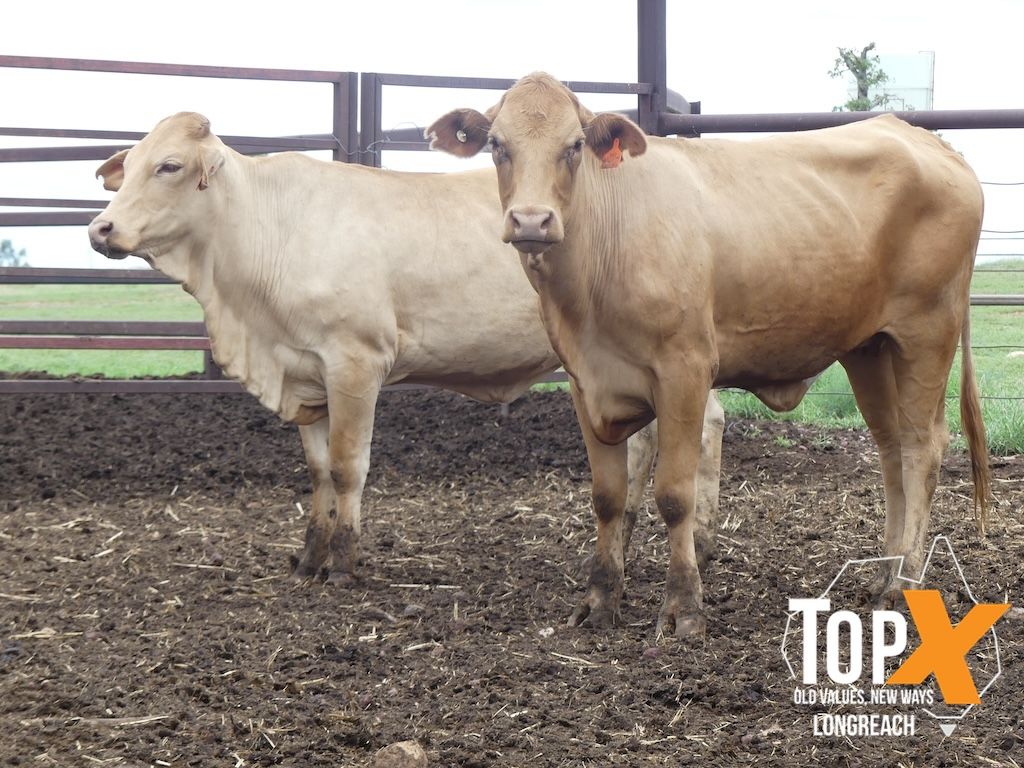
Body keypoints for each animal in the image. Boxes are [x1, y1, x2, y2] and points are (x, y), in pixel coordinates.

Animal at [87, 112, 725, 588]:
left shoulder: (355, 361)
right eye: (129, 166)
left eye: (168, 166)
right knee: (663, 434)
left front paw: (344, 564)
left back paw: (698, 540)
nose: (100, 229)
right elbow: (317, 471)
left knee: (698, 426)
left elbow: (347, 467)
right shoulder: (306, 374)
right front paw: (309, 557)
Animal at [428, 73, 990, 638]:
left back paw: (904, 583)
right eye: (498, 145)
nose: (531, 220)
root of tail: (926, 140)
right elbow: (607, 497)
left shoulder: (685, 369)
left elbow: (674, 494)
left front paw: (683, 607)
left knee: (923, 448)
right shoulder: (585, 382)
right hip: (869, 348)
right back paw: (884, 575)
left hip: (926, 331)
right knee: (891, 449)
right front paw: (600, 601)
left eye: (575, 146)